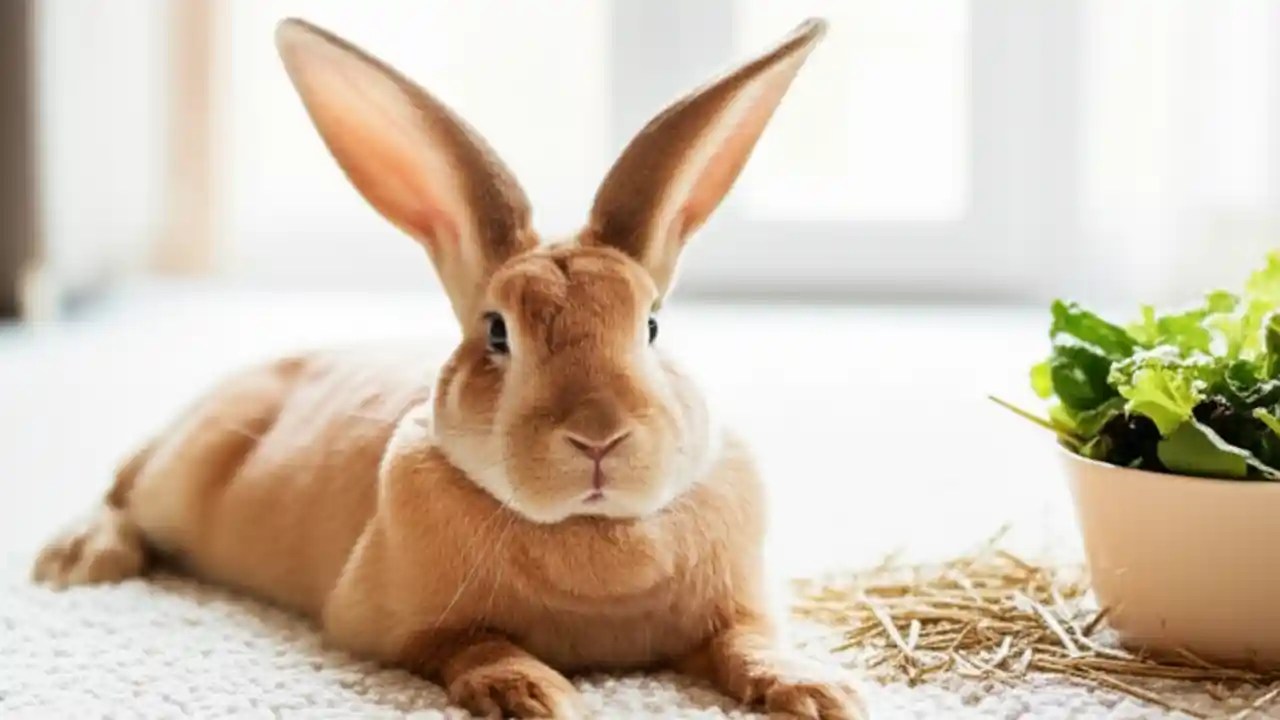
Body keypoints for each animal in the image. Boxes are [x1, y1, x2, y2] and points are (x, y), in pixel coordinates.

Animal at [32, 16, 865, 720]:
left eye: (653, 326)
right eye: (497, 333)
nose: (599, 435)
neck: (591, 532)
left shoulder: (741, 609)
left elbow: (749, 643)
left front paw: (820, 693)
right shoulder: (402, 627)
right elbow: (474, 644)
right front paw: (535, 694)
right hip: (174, 475)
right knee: (118, 494)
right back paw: (79, 558)